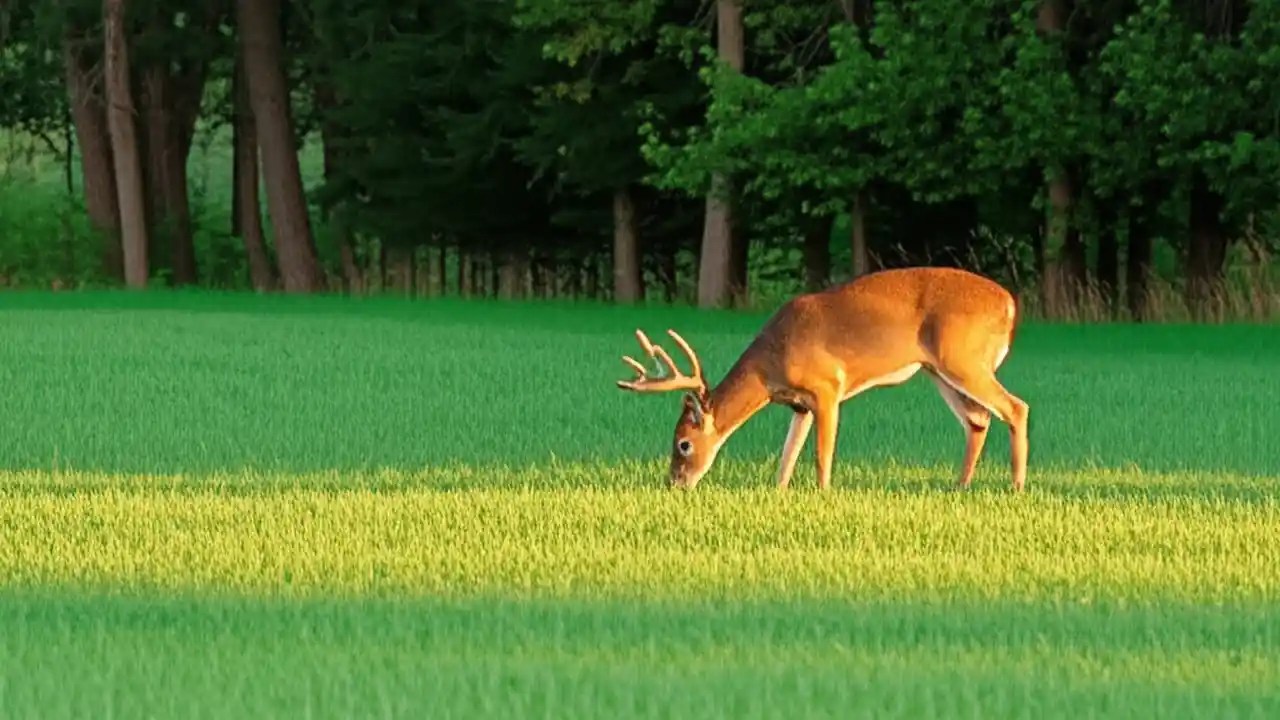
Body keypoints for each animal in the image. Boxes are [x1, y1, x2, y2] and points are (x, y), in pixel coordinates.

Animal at [615, 266, 1030, 492]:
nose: (674, 483)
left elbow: (820, 453)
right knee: (979, 419)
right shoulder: (799, 405)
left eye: (683, 444)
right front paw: (778, 492)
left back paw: (1016, 486)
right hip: (939, 369)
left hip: (963, 357)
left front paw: (824, 493)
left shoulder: (828, 387)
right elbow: (787, 455)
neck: (770, 366)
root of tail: (1009, 305)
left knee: (1015, 407)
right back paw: (960, 486)